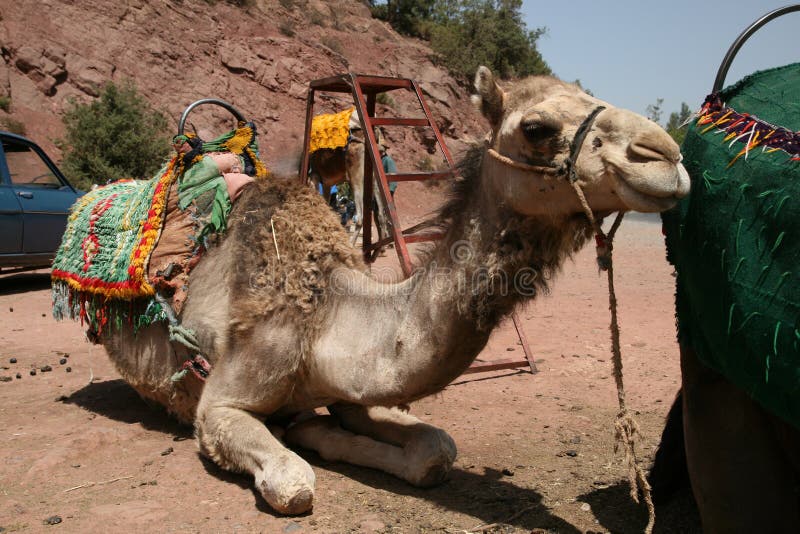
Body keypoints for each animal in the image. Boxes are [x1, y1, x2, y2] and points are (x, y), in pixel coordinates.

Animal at [98, 66, 690, 515]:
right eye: (538, 127)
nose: (665, 154)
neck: (327, 315)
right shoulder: (219, 405)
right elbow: (293, 484)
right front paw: (300, 442)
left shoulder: (351, 387)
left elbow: (434, 448)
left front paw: (318, 435)